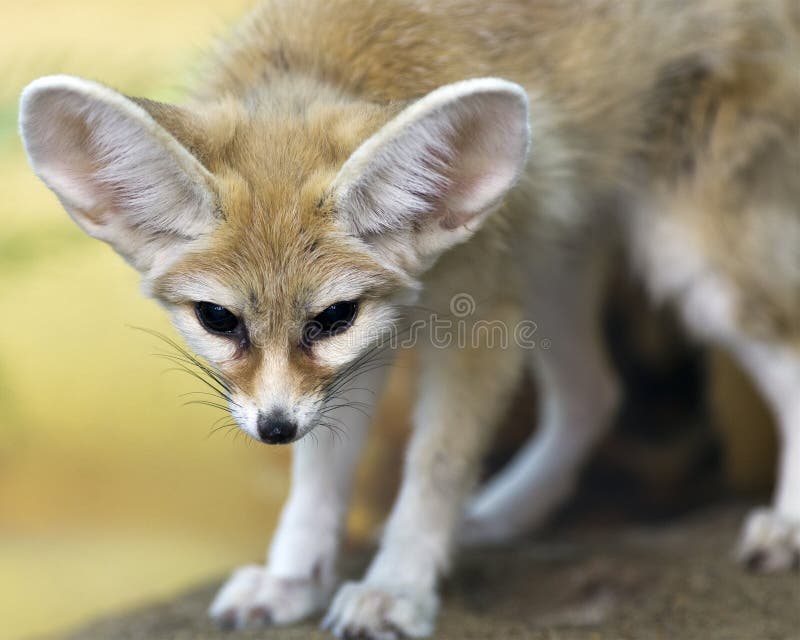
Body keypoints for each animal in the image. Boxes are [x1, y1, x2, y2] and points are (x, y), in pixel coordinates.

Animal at [18, 0, 800, 638]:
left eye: (333, 315)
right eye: (219, 318)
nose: (273, 430)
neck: (324, 62)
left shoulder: (474, 326)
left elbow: (435, 466)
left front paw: (396, 588)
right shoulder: (350, 367)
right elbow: (319, 475)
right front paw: (292, 577)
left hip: (687, 258)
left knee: (782, 356)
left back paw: (787, 524)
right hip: (551, 269)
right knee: (595, 393)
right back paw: (504, 514)